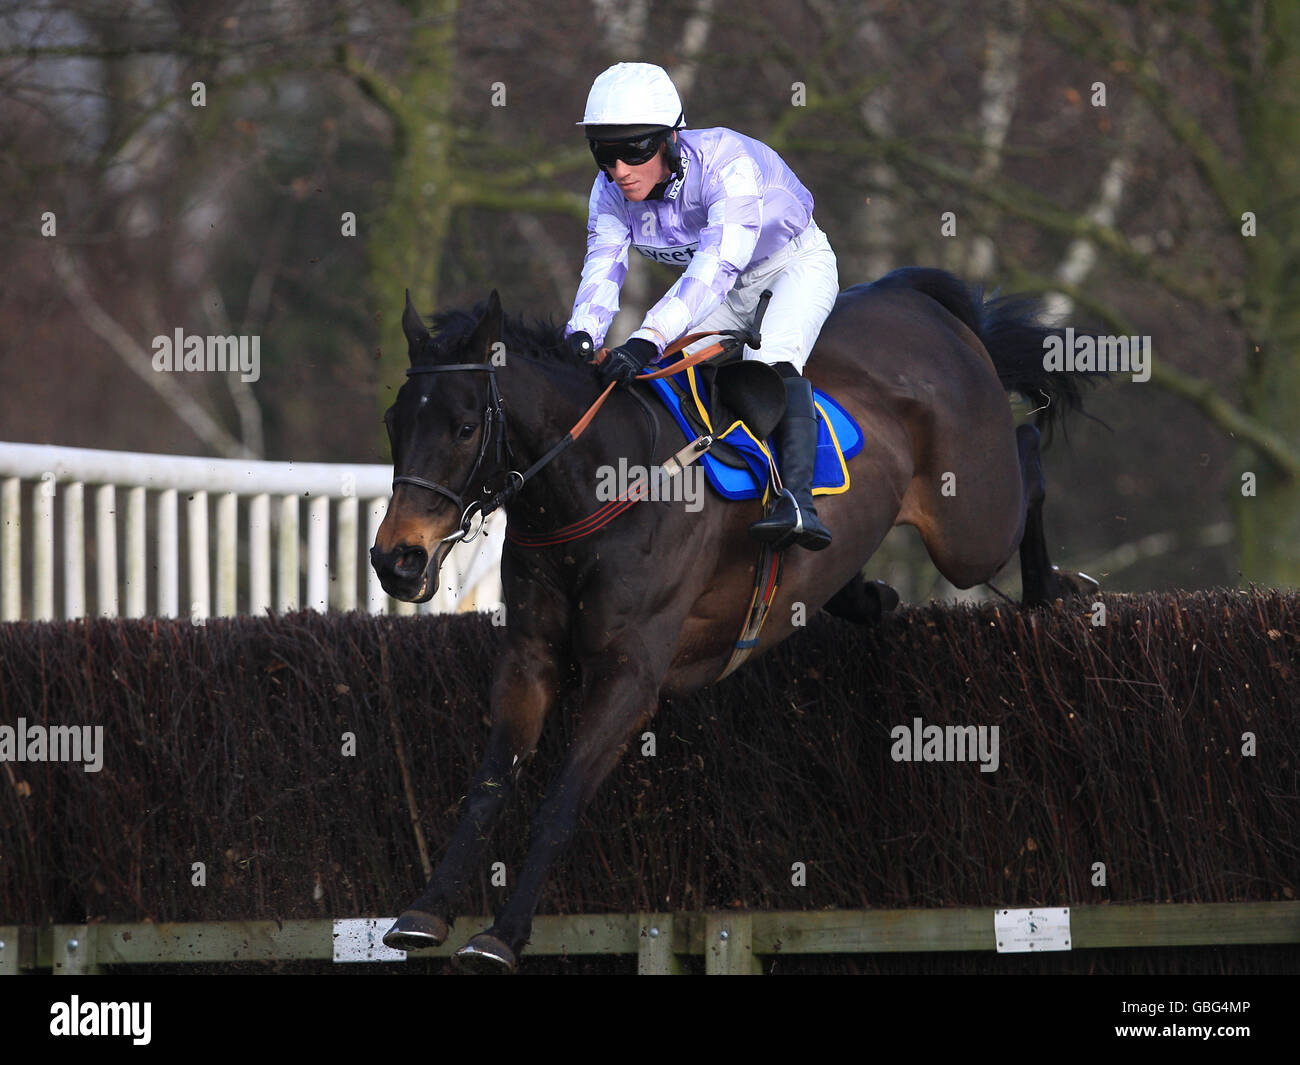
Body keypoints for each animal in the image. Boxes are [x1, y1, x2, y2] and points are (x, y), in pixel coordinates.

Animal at [368, 267, 1098, 972]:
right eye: (394, 422)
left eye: (465, 426)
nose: (396, 558)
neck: (598, 489)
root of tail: (913, 298)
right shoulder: (530, 659)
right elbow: (488, 787)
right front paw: (424, 912)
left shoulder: (631, 675)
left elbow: (559, 802)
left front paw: (503, 934)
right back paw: (869, 594)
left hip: (970, 524)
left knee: (1027, 454)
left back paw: (1050, 588)